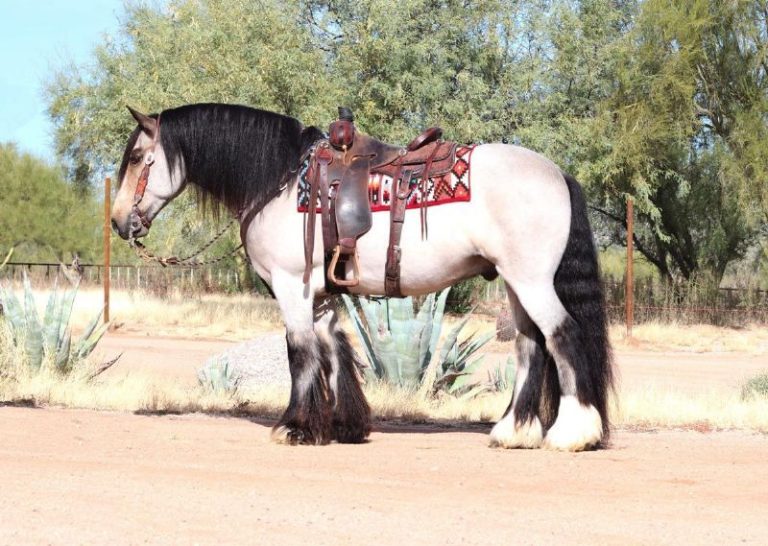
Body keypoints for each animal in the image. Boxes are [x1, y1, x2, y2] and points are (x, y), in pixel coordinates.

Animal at [111, 102, 613, 451]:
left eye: (136, 157)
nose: (119, 222)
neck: (280, 181)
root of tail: (556, 173)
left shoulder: (291, 286)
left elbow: (300, 354)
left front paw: (294, 427)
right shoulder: (321, 294)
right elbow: (333, 350)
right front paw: (341, 425)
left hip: (531, 282)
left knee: (562, 336)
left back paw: (573, 433)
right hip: (514, 285)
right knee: (530, 345)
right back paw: (514, 431)